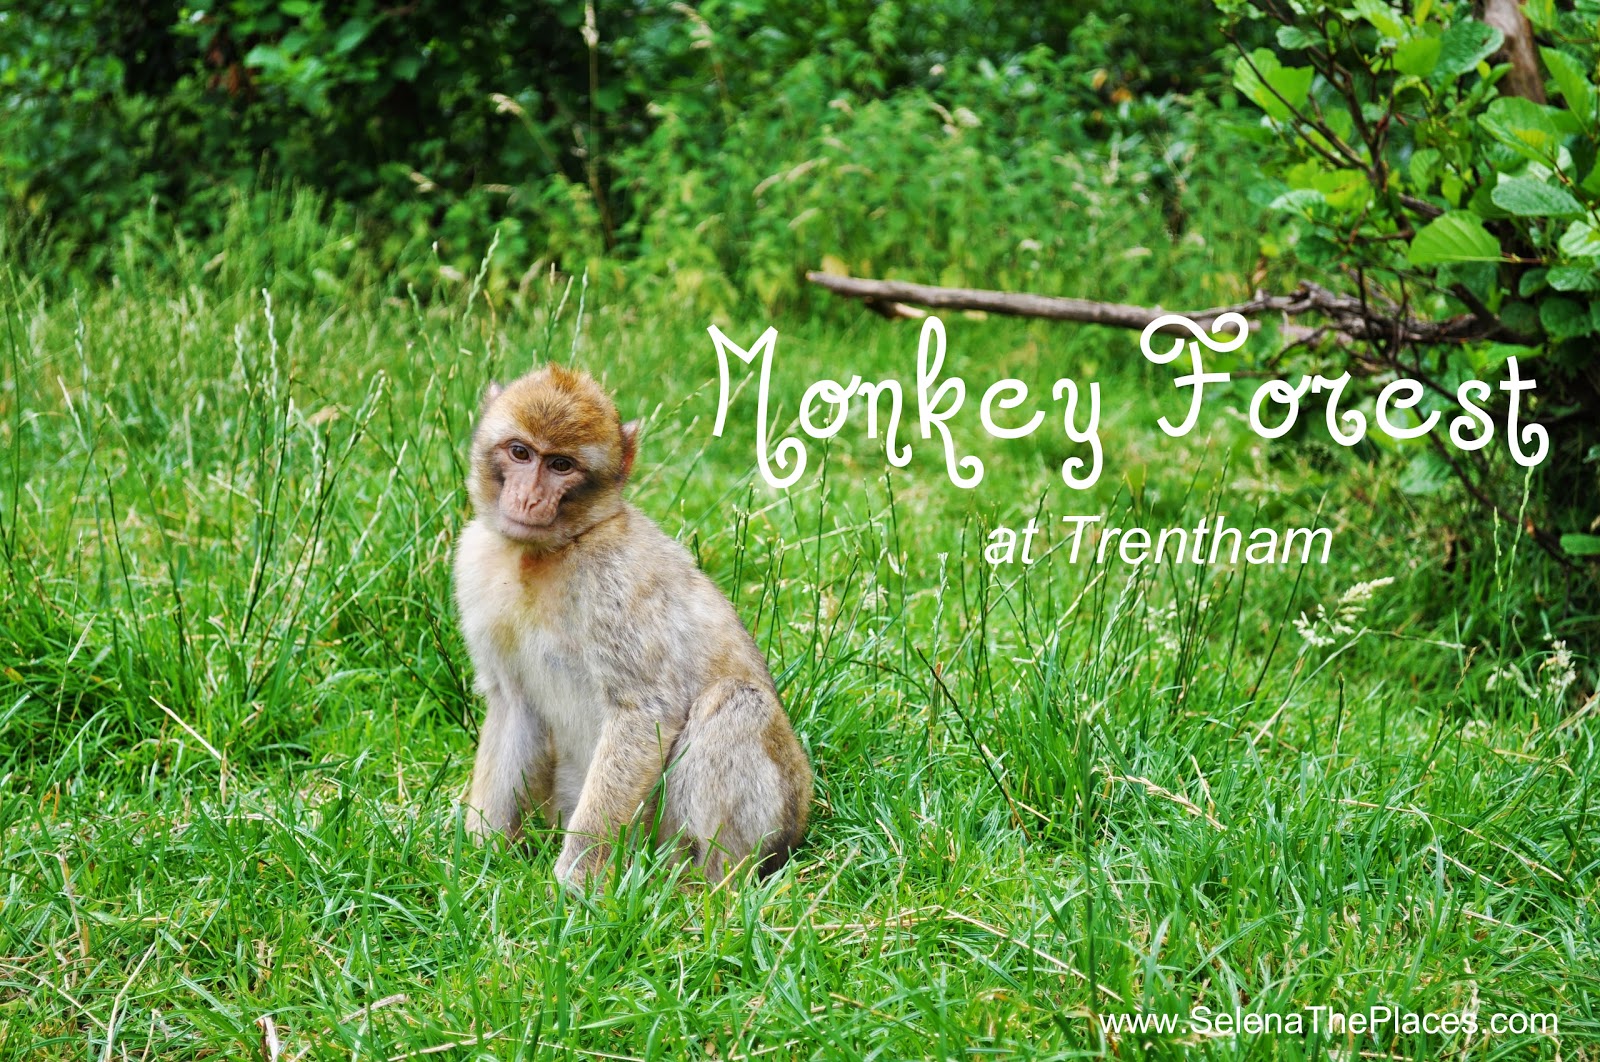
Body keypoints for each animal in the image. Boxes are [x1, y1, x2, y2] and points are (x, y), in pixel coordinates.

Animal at [453, 364, 812, 888]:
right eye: (520, 452)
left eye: (561, 465)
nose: (529, 497)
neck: (545, 555)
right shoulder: (475, 566)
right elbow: (512, 703)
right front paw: (478, 862)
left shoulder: (615, 584)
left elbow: (644, 712)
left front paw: (572, 886)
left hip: (767, 819)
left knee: (739, 703)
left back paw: (698, 888)